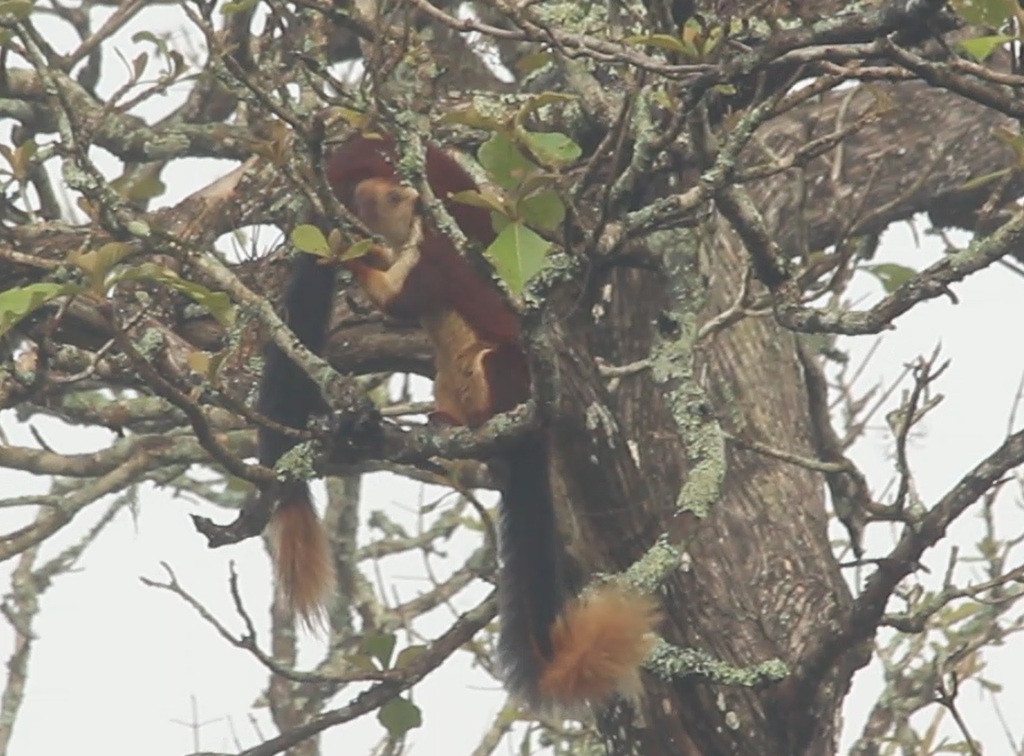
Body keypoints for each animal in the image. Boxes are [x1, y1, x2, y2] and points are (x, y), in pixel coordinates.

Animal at [258, 133, 659, 709]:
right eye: (368, 192)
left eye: (391, 196)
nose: (360, 203)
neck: (414, 236)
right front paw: (355, 249)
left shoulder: (428, 267)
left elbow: (395, 300)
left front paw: (352, 256)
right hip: (445, 379)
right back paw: (443, 422)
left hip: (498, 369)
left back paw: (481, 424)